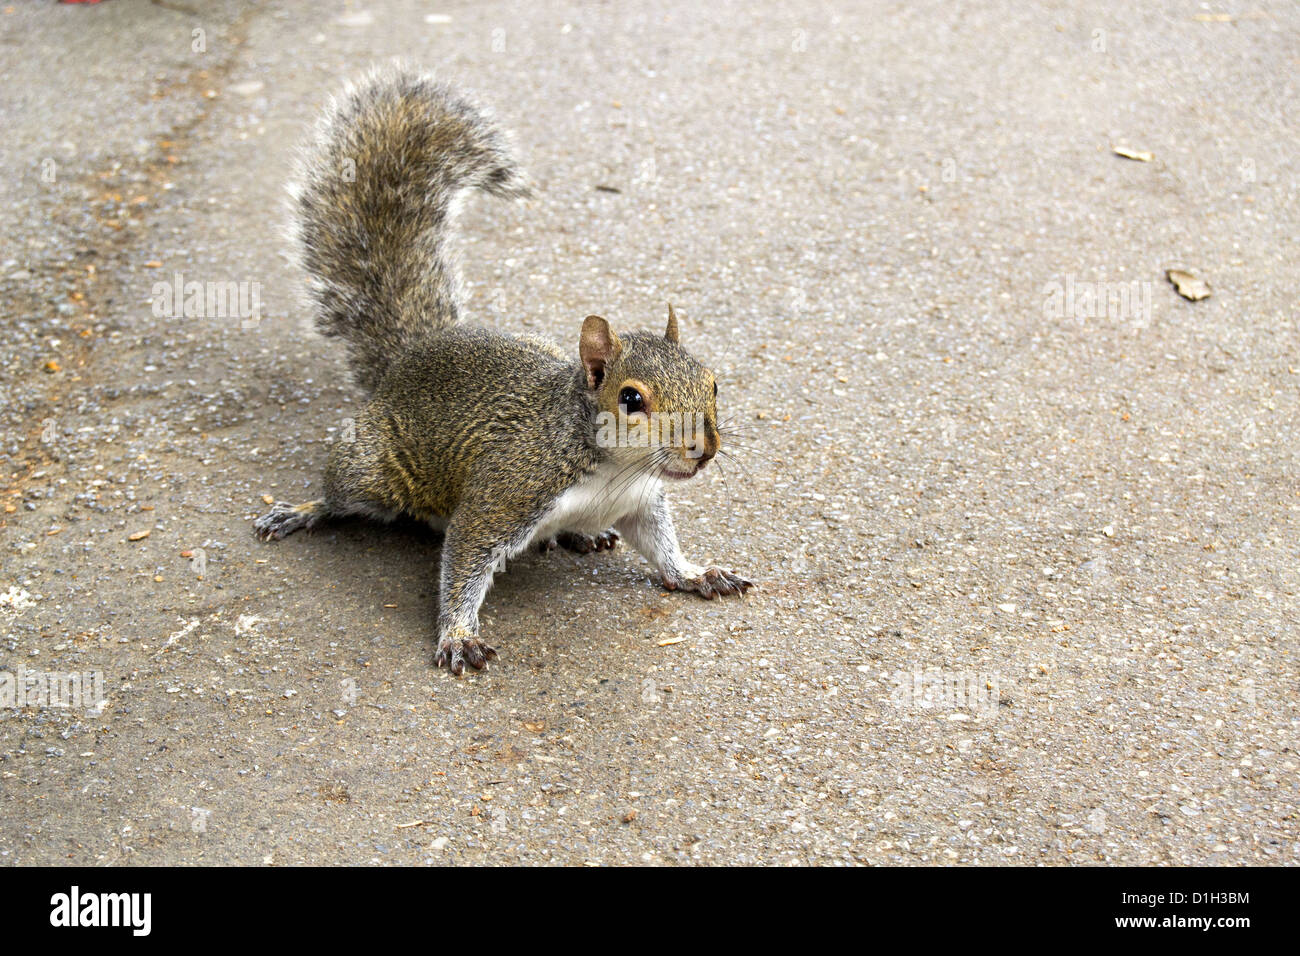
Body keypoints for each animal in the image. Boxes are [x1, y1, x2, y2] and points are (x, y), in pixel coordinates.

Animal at [254, 65, 752, 674]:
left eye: (712, 382)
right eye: (631, 399)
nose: (703, 448)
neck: (613, 468)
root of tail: (410, 355)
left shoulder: (638, 504)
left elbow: (661, 547)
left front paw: (696, 572)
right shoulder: (506, 492)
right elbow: (465, 559)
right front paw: (456, 634)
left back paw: (580, 537)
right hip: (372, 468)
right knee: (342, 493)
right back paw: (301, 511)